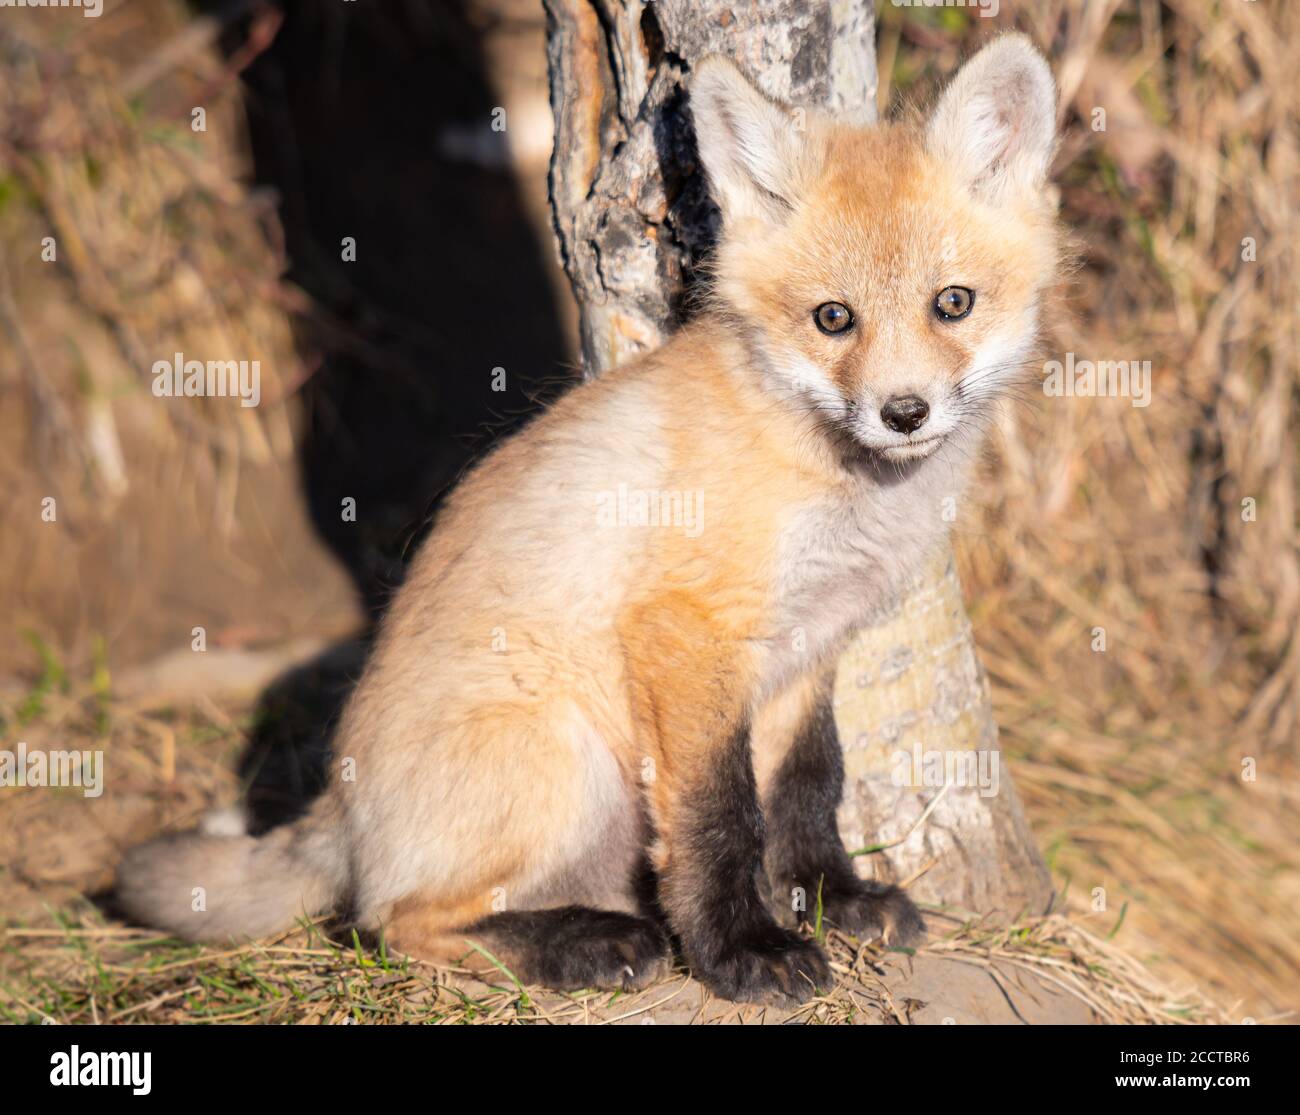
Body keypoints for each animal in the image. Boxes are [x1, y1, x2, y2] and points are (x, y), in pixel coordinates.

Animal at [117, 34, 1061, 1005]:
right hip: (565, 761)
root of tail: (337, 807)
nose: (904, 412)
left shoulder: (811, 649)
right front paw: (743, 950)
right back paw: (584, 945)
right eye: (834, 318)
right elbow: (720, 816)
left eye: (953, 303)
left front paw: (834, 897)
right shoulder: (686, 631)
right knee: (390, 922)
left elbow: (808, 786)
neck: (835, 483)